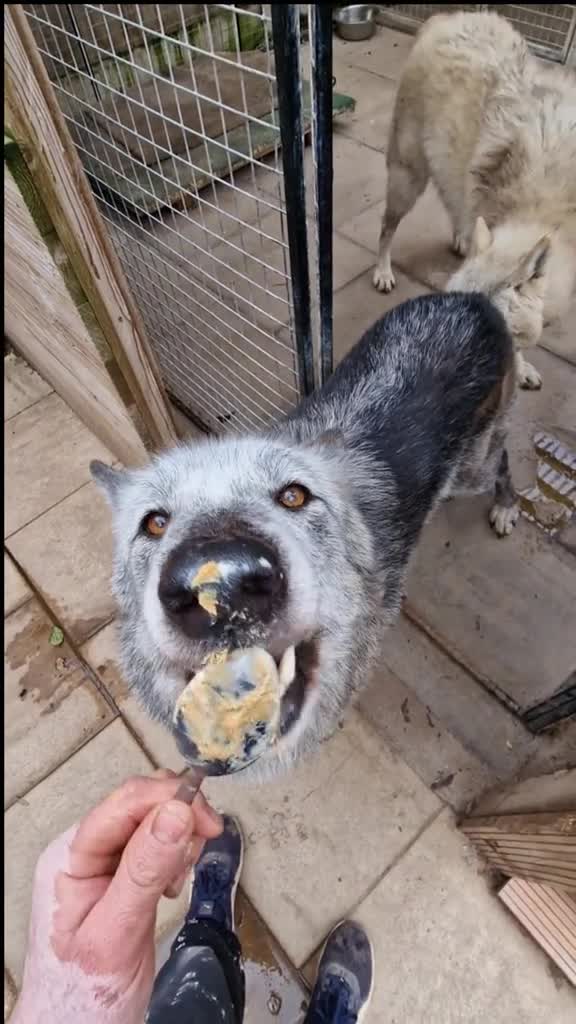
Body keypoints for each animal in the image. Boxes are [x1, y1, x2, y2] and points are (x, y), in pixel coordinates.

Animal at [92, 293, 517, 780]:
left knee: (504, 460)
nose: (226, 586)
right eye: (154, 523)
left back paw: (507, 508)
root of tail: (470, 299)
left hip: (473, 473)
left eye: (294, 495)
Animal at [372, 10, 576, 389]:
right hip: (408, 179)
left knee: (457, 207)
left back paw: (460, 240)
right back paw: (383, 271)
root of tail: (447, 17)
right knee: (387, 227)